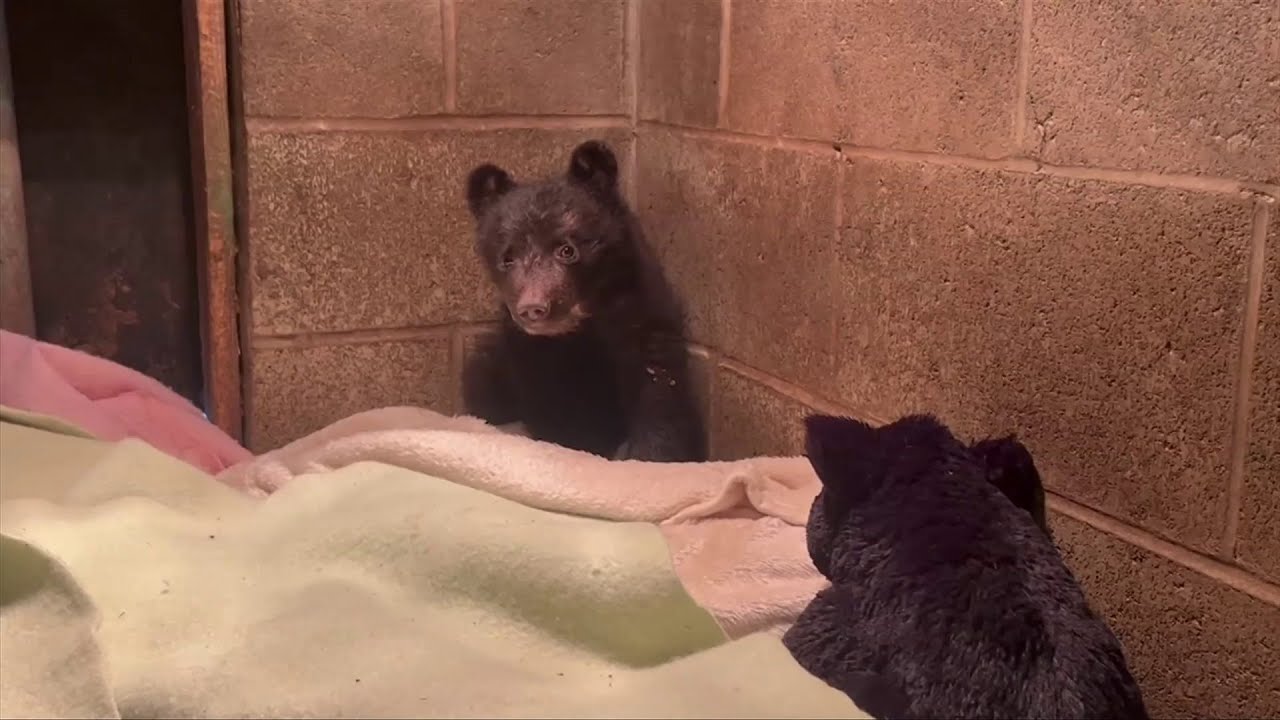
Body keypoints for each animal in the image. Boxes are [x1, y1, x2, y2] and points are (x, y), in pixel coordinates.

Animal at [460, 140, 707, 463]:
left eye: (567, 250)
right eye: (507, 258)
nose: (533, 308)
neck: (578, 334)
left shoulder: (647, 327)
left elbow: (660, 396)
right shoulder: (529, 357)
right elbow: (554, 412)